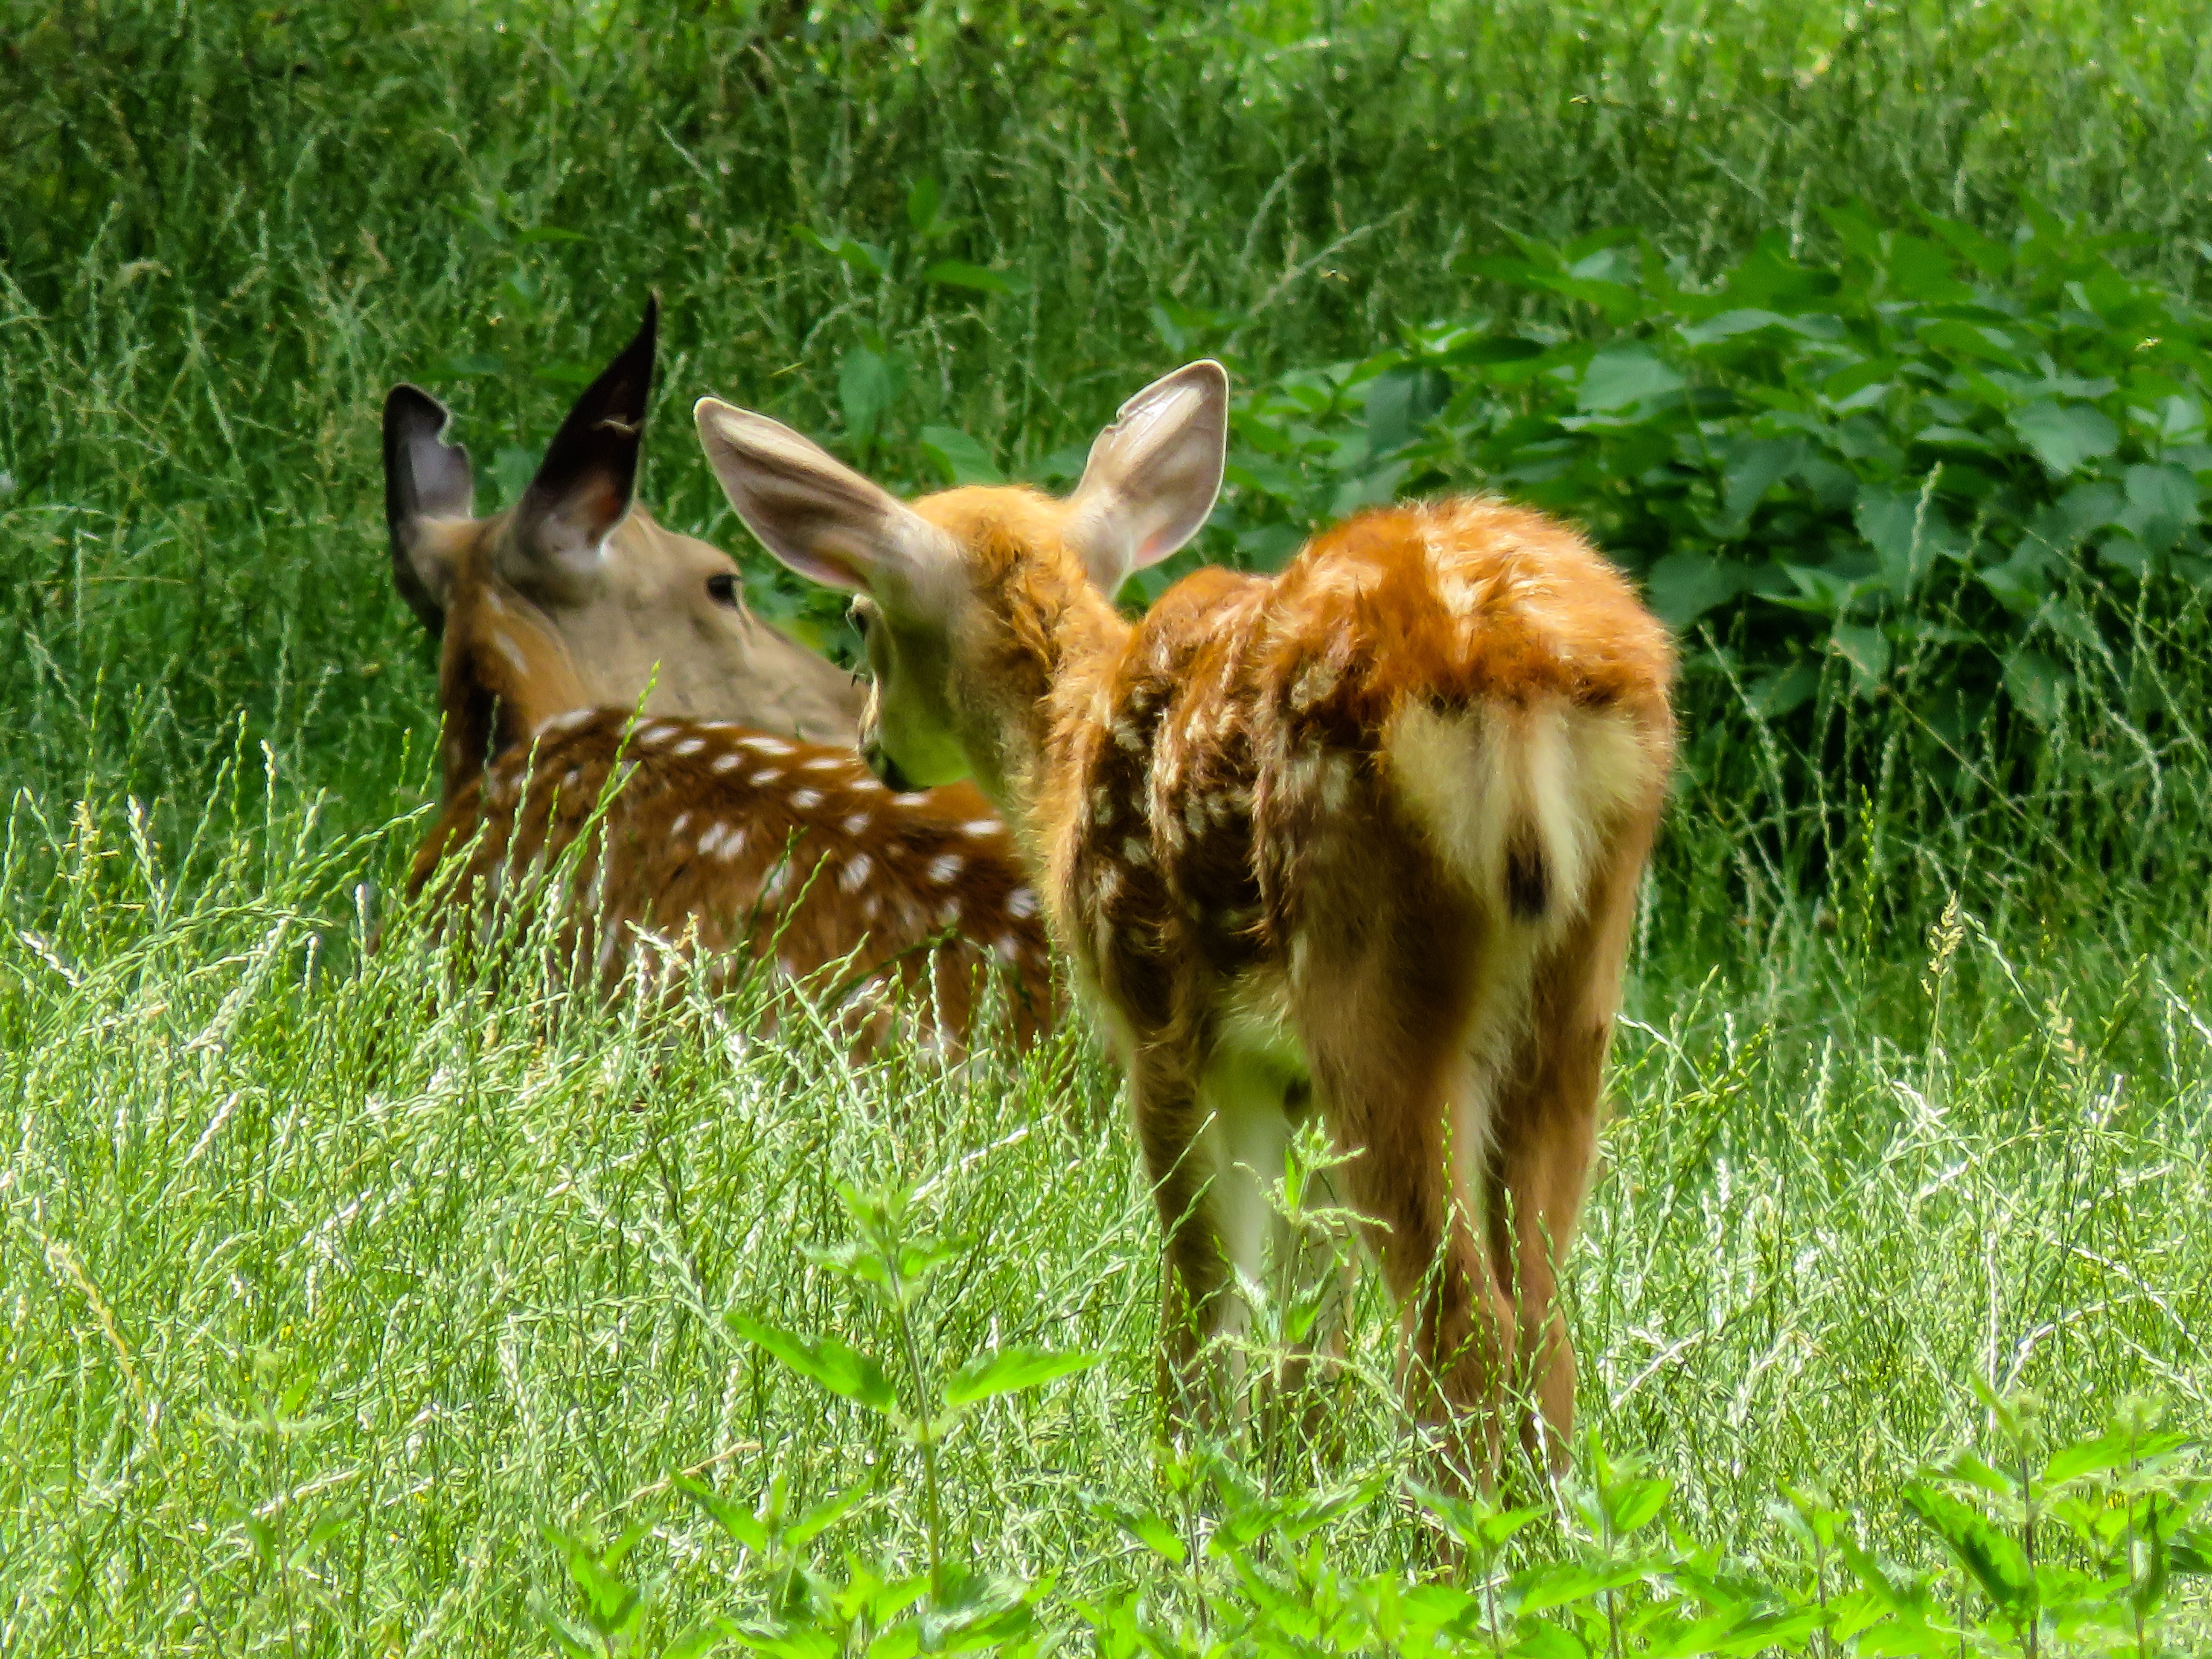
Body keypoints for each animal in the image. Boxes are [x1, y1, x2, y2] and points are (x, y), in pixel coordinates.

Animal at [693, 362, 1675, 1479]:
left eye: (859, 615)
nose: (870, 745)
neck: (1066, 760)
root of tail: (1515, 673)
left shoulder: (1159, 1017)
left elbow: (1205, 1296)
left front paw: (1191, 1488)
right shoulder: (1286, 1075)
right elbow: (1308, 1321)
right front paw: (1292, 1483)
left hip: (1371, 976)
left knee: (1466, 1322)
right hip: (1572, 994)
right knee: (1543, 1320)